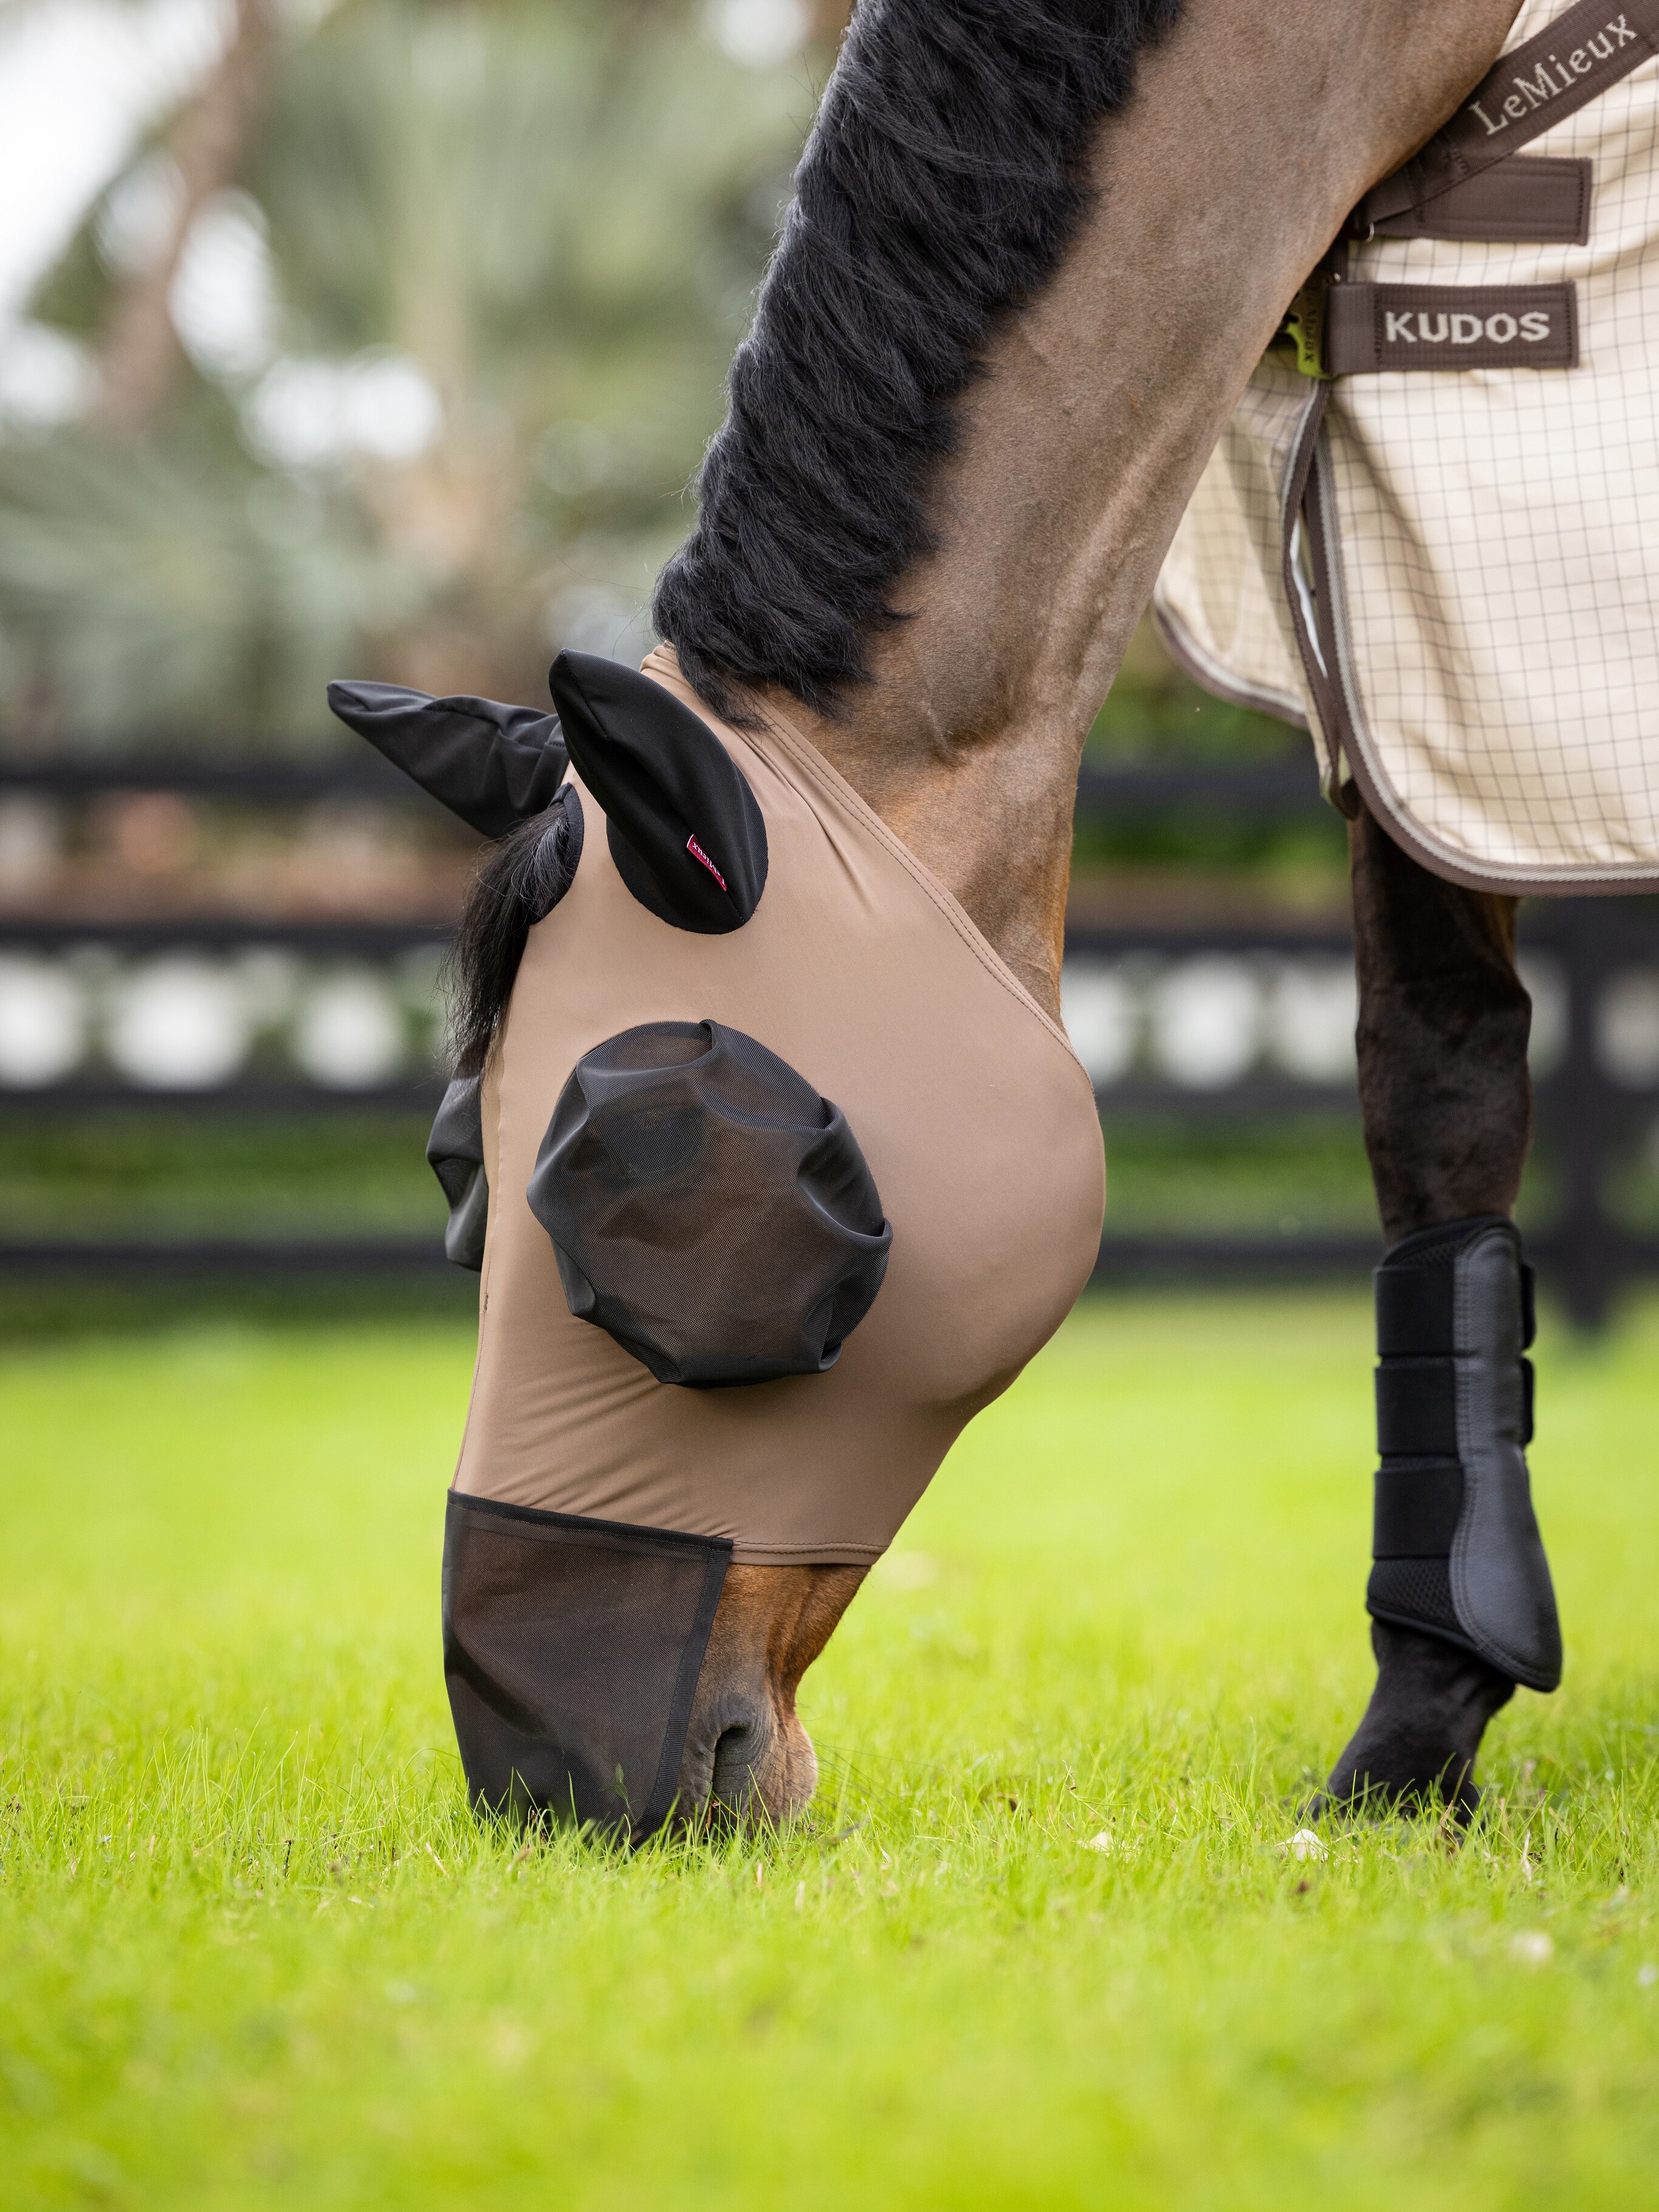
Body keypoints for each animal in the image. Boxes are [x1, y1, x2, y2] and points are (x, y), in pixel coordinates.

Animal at [343, 0, 1552, 1829]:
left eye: (674, 1202)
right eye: (447, 1166)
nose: (546, 1768)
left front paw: (1416, 1737)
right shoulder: (1398, 628)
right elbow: (1436, 1085)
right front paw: (1420, 1733)